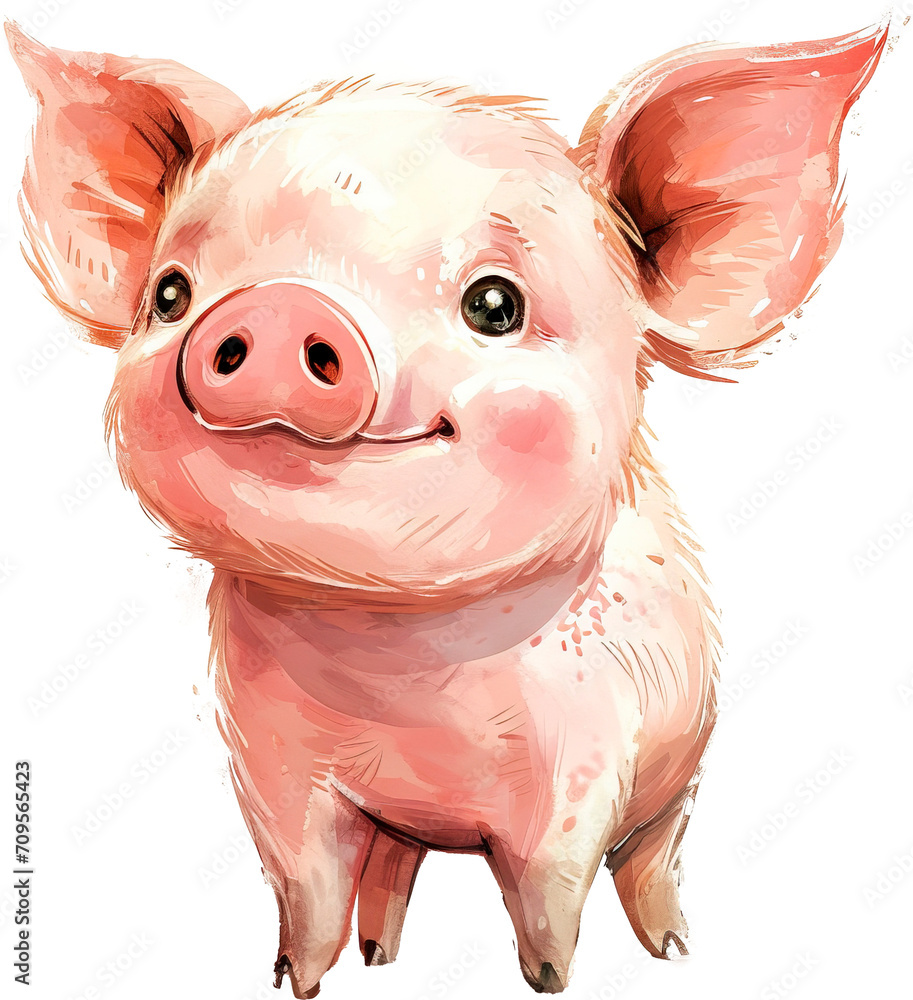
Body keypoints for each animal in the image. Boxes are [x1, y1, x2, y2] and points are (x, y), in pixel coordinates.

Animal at [7, 21, 885, 996]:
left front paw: (549, 983)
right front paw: (297, 981)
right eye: (170, 293)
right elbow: (304, 889)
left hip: (679, 779)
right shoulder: (268, 763)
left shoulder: (585, 765)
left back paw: (674, 953)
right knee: (392, 870)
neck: (399, 677)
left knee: (651, 861)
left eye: (494, 303)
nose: (277, 307)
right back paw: (382, 957)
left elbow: (548, 902)